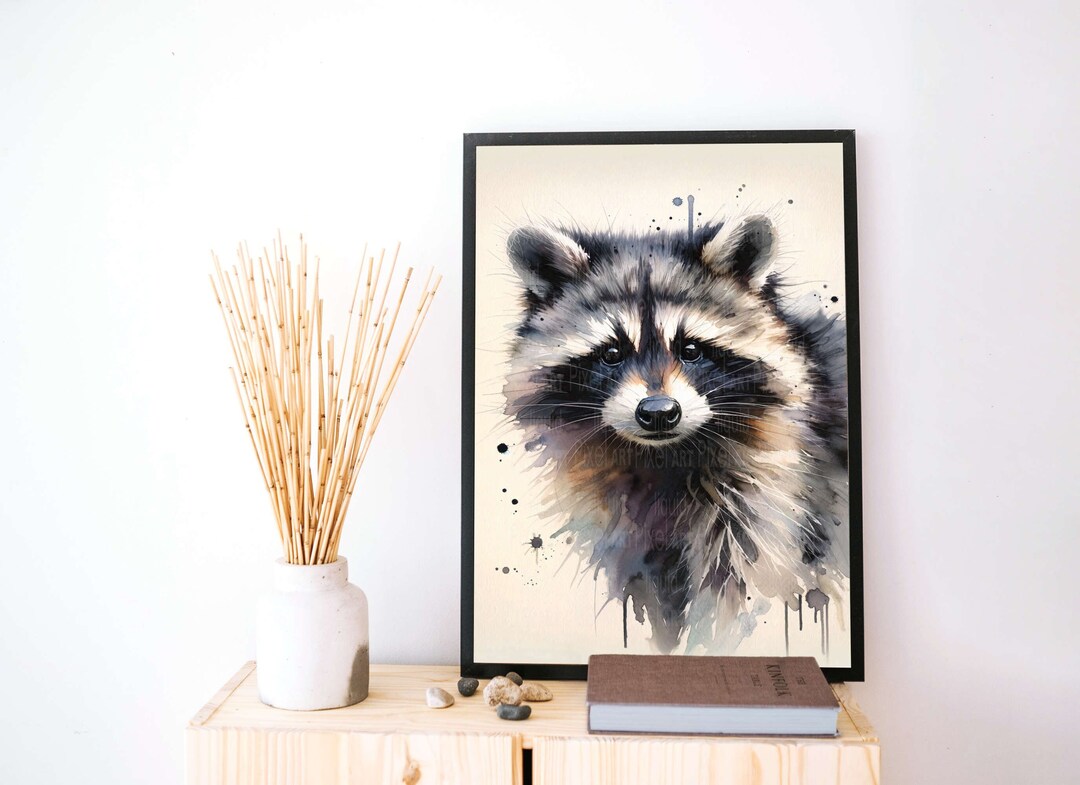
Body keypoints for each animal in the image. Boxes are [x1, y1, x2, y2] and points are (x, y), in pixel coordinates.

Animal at [501, 215, 850, 654]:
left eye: (692, 350)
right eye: (612, 354)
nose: (658, 414)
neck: (663, 457)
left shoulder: (775, 485)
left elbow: (741, 583)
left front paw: (711, 642)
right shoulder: (609, 514)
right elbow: (632, 582)